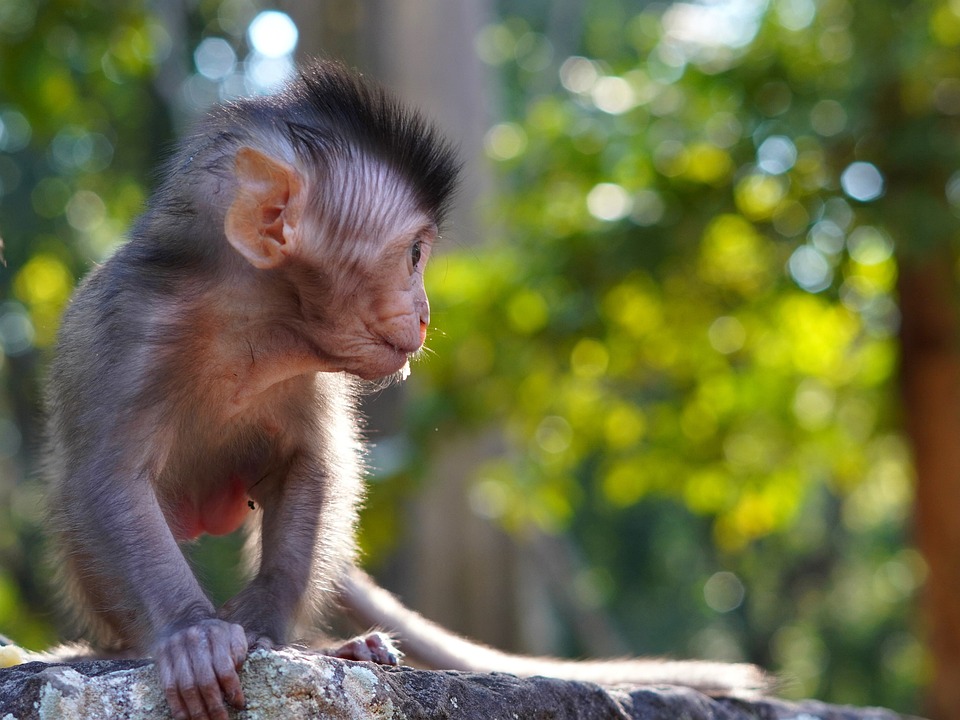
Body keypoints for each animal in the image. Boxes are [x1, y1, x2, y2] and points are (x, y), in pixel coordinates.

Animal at [42, 61, 766, 720]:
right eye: (414, 254)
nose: (424, 313)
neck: (248, 325)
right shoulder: (133, 331)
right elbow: (109, 479)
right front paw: (191, 634)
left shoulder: (307, 376)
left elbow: (310, 467)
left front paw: (265, 621)